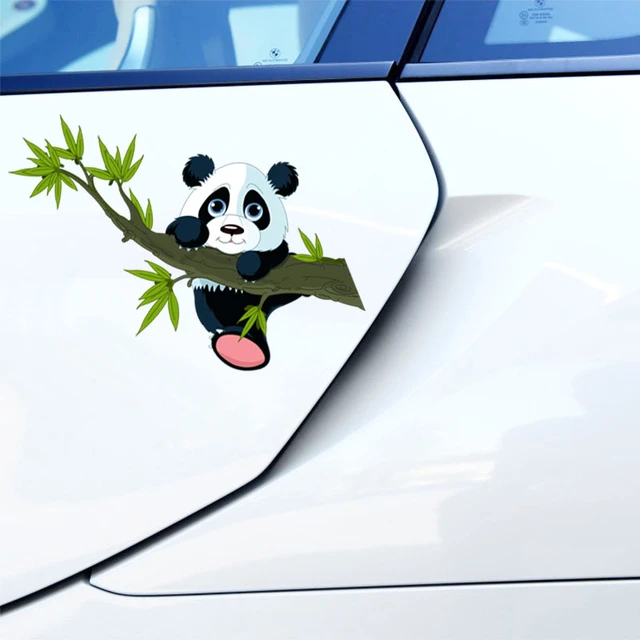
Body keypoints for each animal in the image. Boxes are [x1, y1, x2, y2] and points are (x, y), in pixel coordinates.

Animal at [166, 154, 302, 371]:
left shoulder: (279, 257)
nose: (231, 229)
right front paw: (190, 231)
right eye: (216, 205)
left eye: (254, 210)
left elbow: (277, 254)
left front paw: (250, 264)